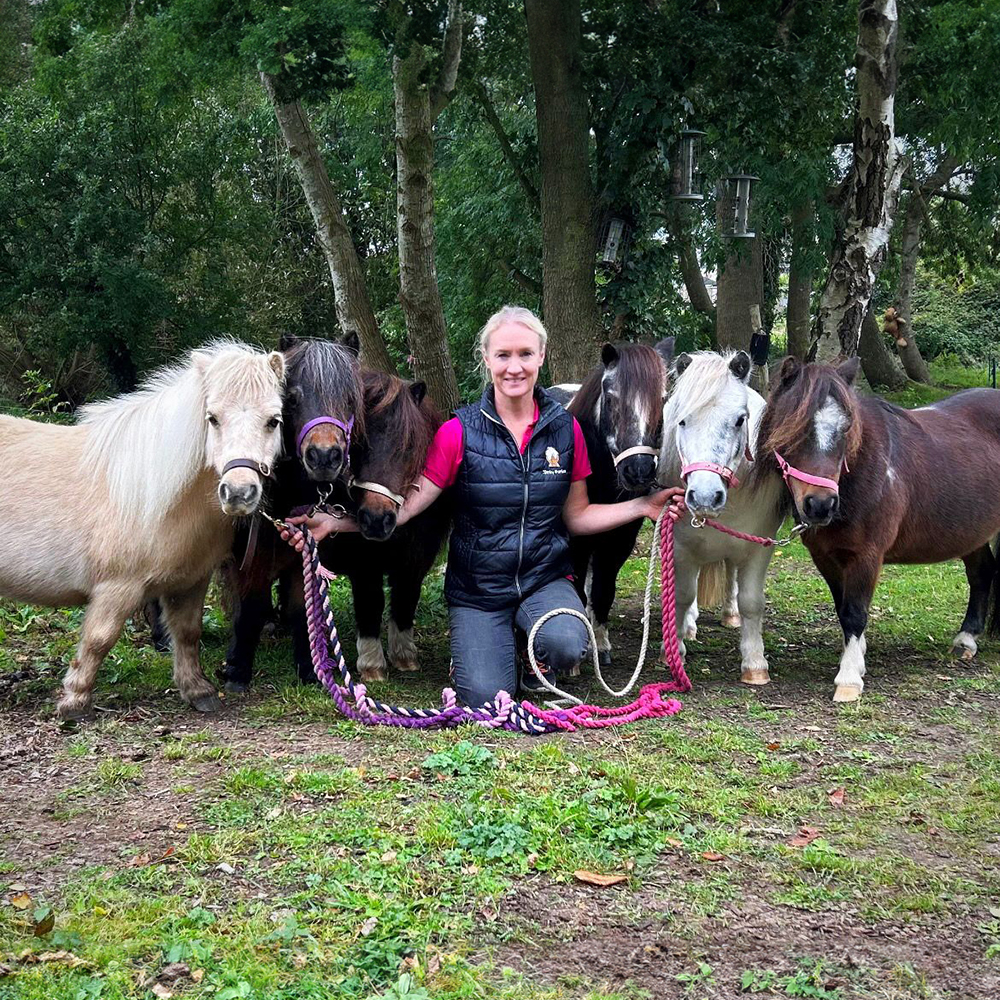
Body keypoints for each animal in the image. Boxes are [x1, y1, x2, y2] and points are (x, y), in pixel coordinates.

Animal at [0, 342, 286, 718]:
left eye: (273, 421)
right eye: (212, 418)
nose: (238, 493)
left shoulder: (192, 581)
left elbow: (187, 632)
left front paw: (197, 690)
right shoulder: (117, 587)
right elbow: (99, 638)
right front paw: (75, 700)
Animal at [221, 368, 446, 689]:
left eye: (410, 446)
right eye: (360, 447)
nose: (375, 520)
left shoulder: (415, 561)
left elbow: (405, 601)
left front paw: (405, 657)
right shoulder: (365, 565)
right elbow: (371, 603)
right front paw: (372, 664)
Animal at [563, 340, 673, 666]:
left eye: (662, 400)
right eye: (611, 400)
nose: (638, 471)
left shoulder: (619, 540)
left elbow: (603, 590)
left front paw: (600, 643)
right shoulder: (576, 541)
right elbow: (578, 589)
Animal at [659, 350, 785, 684]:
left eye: (740, 419)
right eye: (682, 419)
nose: (705, 496)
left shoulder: (759, 546)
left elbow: (752, 602)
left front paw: (755, 664)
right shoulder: (680, 547)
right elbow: (682, 595)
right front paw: (674, 652)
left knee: (731, 574)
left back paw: (731, 614)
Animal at [753, 355, 1000, 702]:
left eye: (846, 429)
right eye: (793, 428)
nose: (821, 505)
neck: (864, 473)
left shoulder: (867, 556)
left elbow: (855, 612)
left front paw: (849, 679)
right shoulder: (827, 558)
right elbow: (843, 609)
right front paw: (857, 660)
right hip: (970, 532)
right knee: (981, 573)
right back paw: (966, 639)